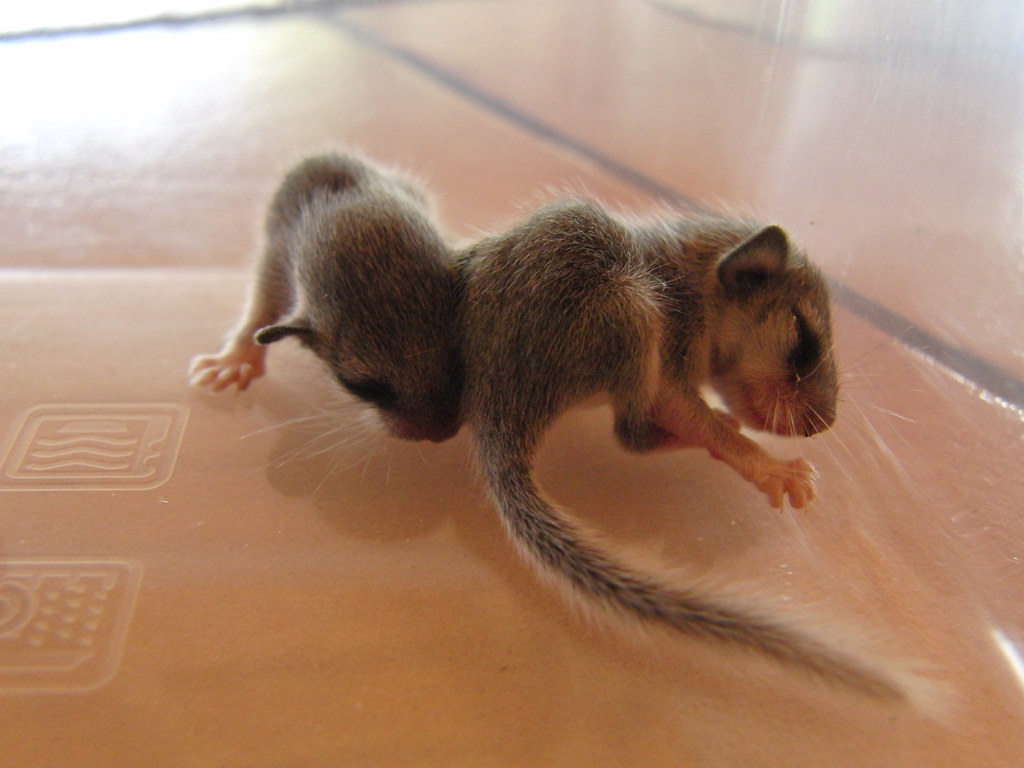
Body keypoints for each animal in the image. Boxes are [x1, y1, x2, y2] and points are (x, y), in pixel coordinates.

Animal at [191, 152, 901, 699]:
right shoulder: (670, 351)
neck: (695, 278)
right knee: (634, 435)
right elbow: (693, 416)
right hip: (628, 313)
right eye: (804, 342)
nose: (822, 428)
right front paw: (777, 470)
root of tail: (502, 409)